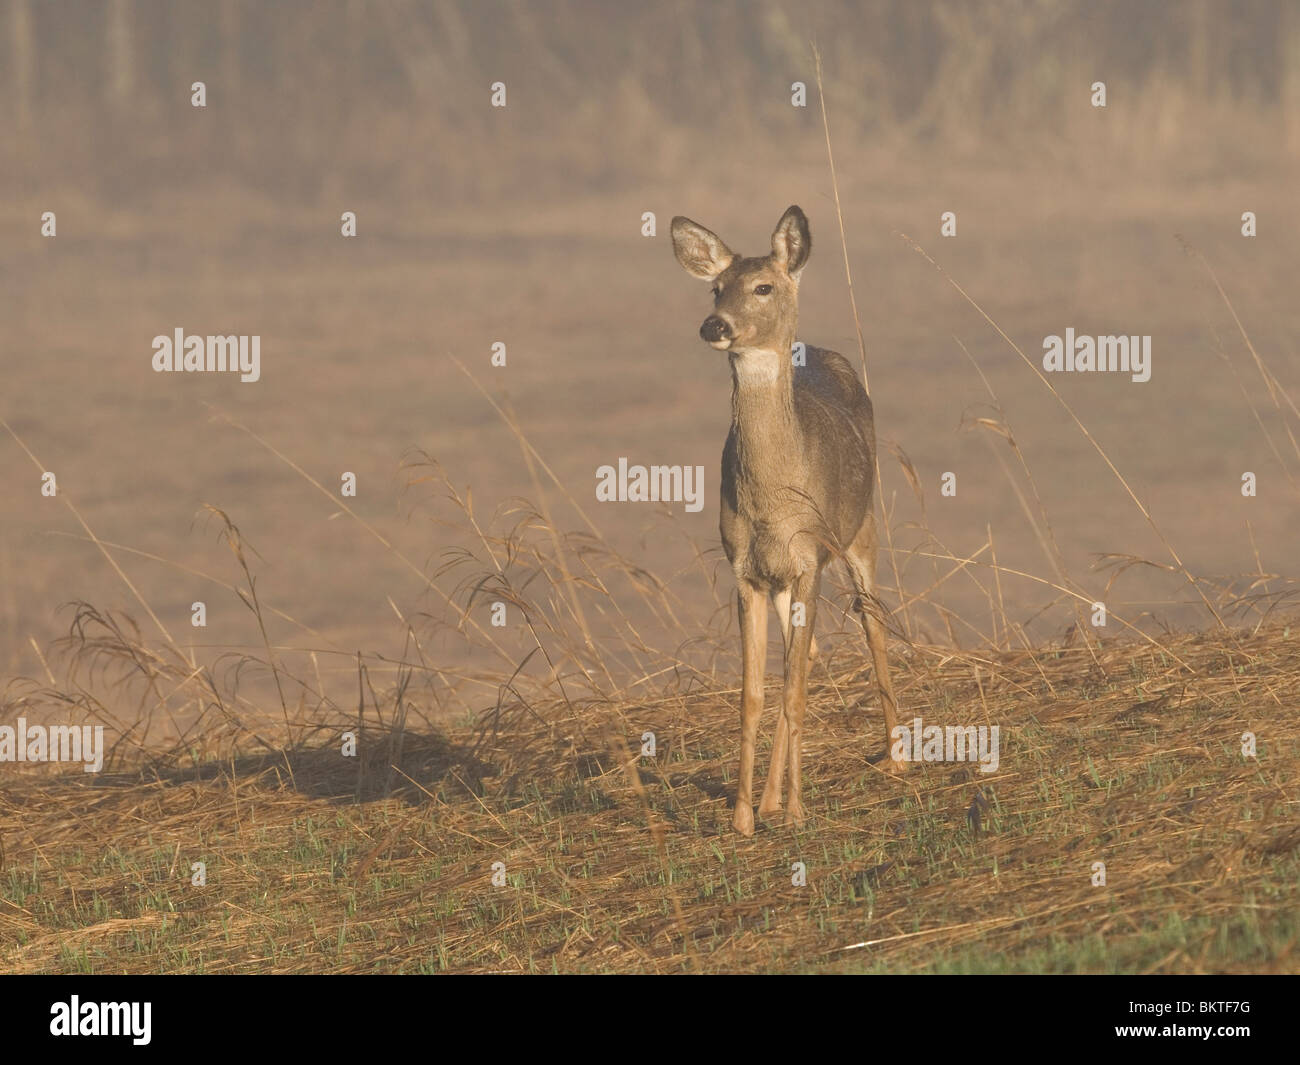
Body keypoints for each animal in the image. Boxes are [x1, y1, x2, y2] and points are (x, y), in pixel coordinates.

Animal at [671, 205, 905, 836]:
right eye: (715, 287)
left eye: (763, 287)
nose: (713, 325)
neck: (774, 500)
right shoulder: (746, 570)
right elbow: (754, 694)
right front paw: (743, 817)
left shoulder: (810, 558)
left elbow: (795, 690)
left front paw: (800, 810)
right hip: (785, 582)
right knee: (806, 655)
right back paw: (771, 799)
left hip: (860, 531)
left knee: (873, 626)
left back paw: (896, 757)